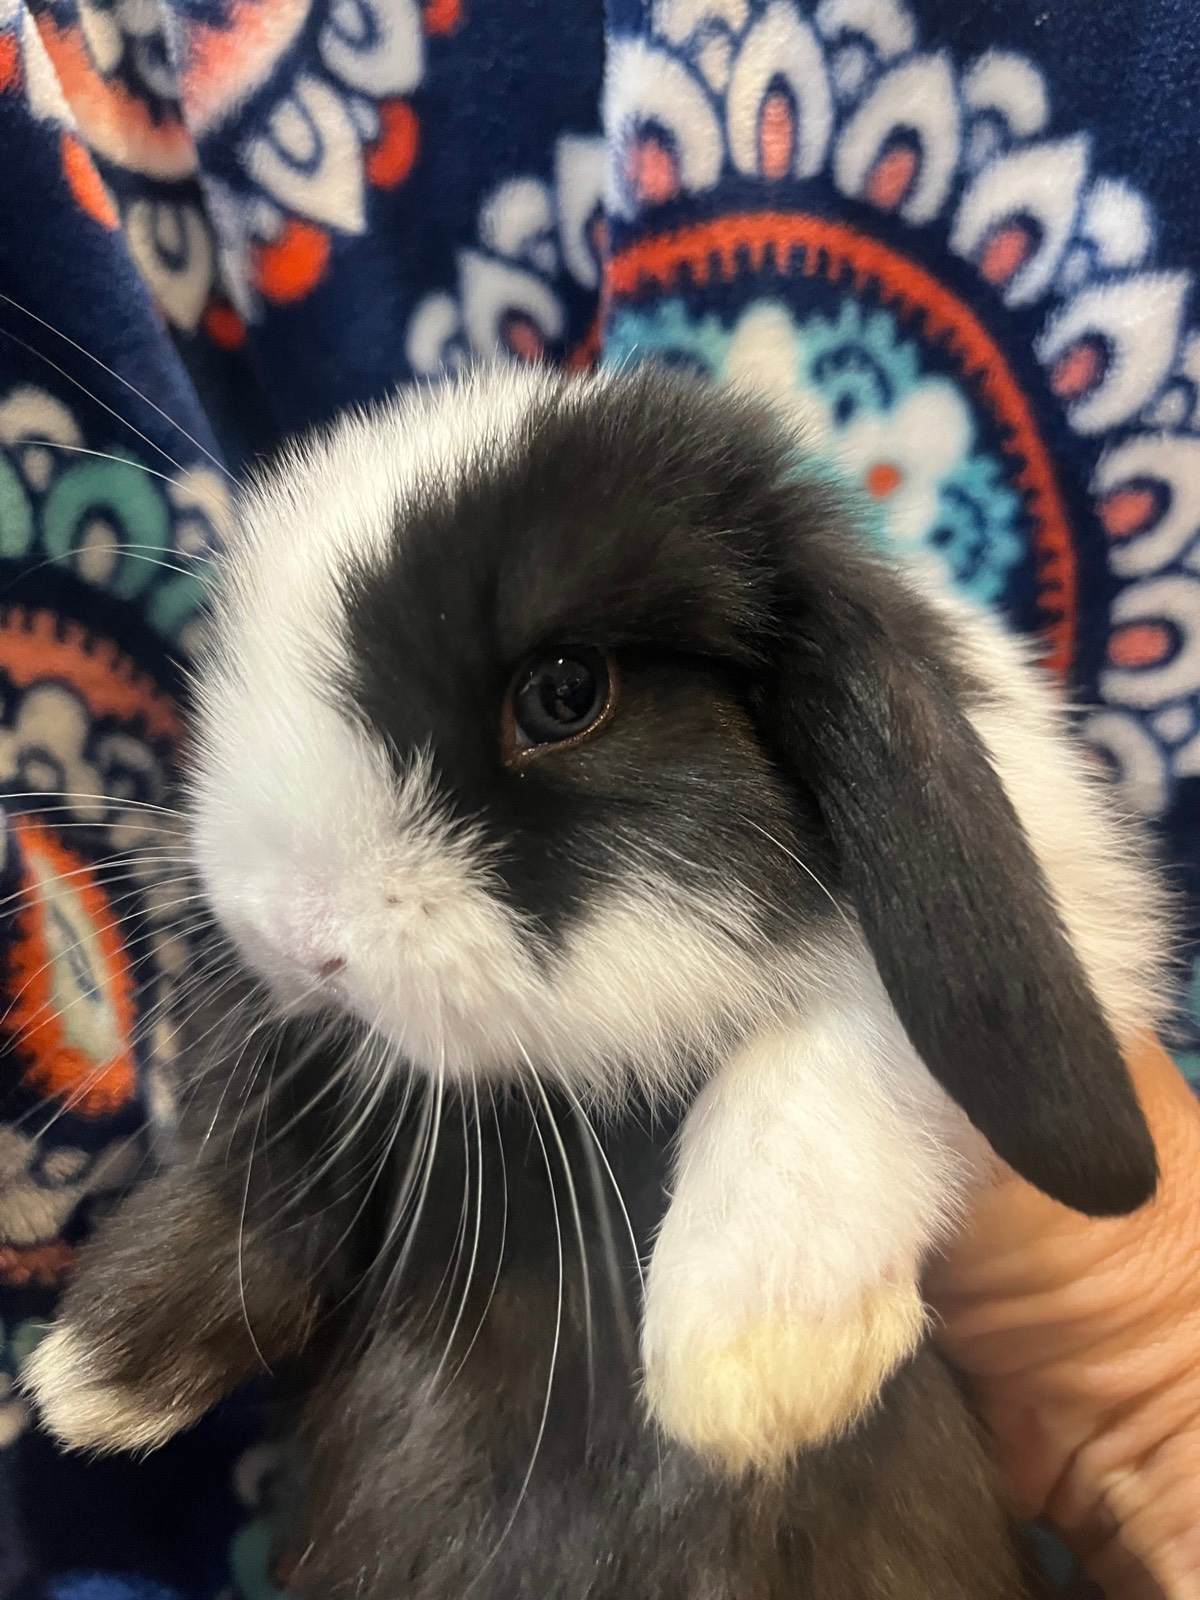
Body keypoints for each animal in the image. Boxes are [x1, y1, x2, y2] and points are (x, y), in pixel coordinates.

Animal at [25, 364, 1167, 1598]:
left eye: (566, 693)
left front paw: (752, 1357)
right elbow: (279, 1150)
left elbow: (840, 1035)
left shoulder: (1064, 928)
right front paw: (101, 1367)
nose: (291, 933)